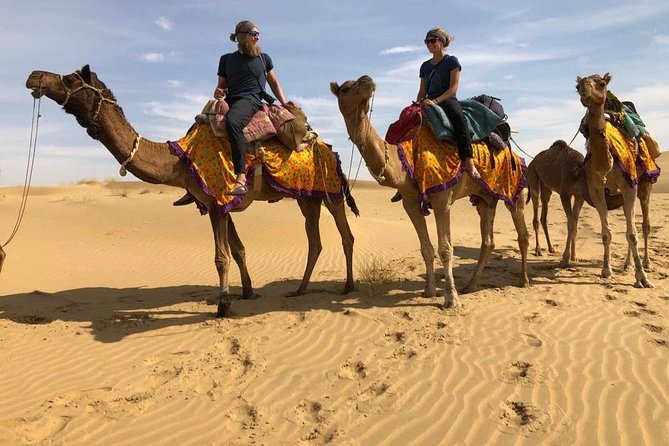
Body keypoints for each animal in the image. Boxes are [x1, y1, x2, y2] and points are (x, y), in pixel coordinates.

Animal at [26, 65, 359, 317]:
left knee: (345, 234)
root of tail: (328, 148)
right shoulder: (218, 203)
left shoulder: (216, 201)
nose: (34, 76)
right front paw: (247, 292)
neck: (181, 158)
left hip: (330, 190)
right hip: (307, 197)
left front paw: (223, 307)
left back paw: (348, 287)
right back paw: (300, 290)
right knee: (314, 241)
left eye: (70, 79)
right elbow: (238, 250)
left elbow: (221, 257)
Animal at [330, 76, 529, 308]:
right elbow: (426, 248)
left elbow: (445, 249)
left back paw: (524, 281)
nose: (368, 80)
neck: (404, 161)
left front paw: (451, 299)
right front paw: (429, 291)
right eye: (345, 89)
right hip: (484, 198)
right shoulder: (410, 202)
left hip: (516, 189)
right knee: (488, 240)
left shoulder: (442, 198)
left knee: (523, 234)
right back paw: (470, 286)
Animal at [576, 73, 653, 287]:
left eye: (601, 83)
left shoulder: (629, 186)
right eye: (577, 86)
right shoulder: (596, 189)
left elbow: (632, 234)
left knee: (644, 226)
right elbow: (606, 233)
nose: (584, 90)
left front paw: (642, 277)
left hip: (644, 183)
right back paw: (627, 264)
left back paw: (646, 263)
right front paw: (606, 270)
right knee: (630, 224)